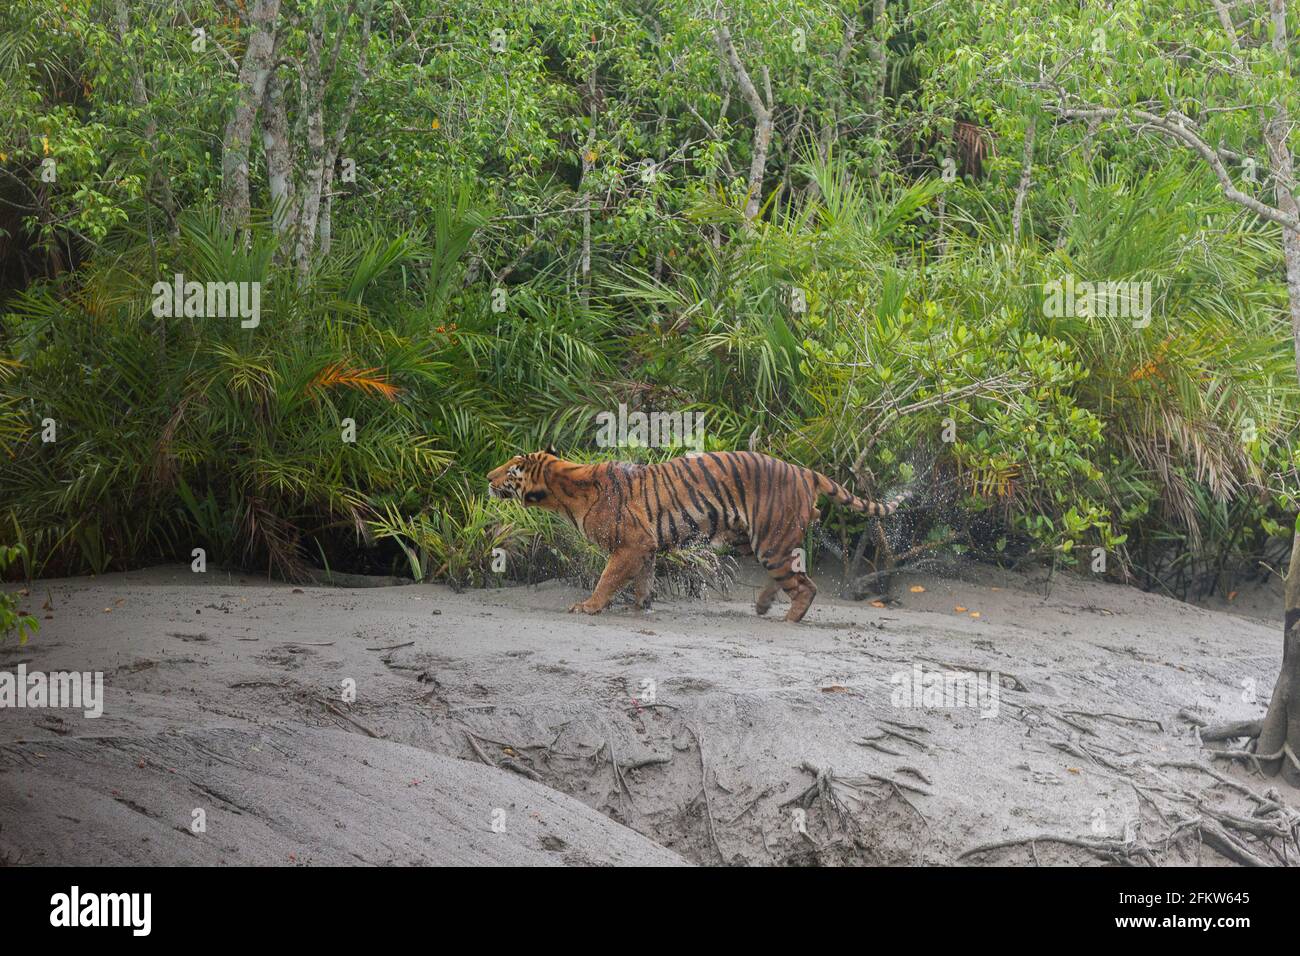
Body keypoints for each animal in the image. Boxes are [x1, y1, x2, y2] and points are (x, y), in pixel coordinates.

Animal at [487, 448, 907, 622]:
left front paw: (589, 607)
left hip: (768, 540)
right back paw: (763, 605)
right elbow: (642, 582)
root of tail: (803, 471)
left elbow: (606, 579)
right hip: (752, 540)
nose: (488, 477)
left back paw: (787, 618)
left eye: (511, 469)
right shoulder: (645, 548)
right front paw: (640, 607)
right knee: (789, 575)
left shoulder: (630, 545)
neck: (564, 488)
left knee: (805, 586)